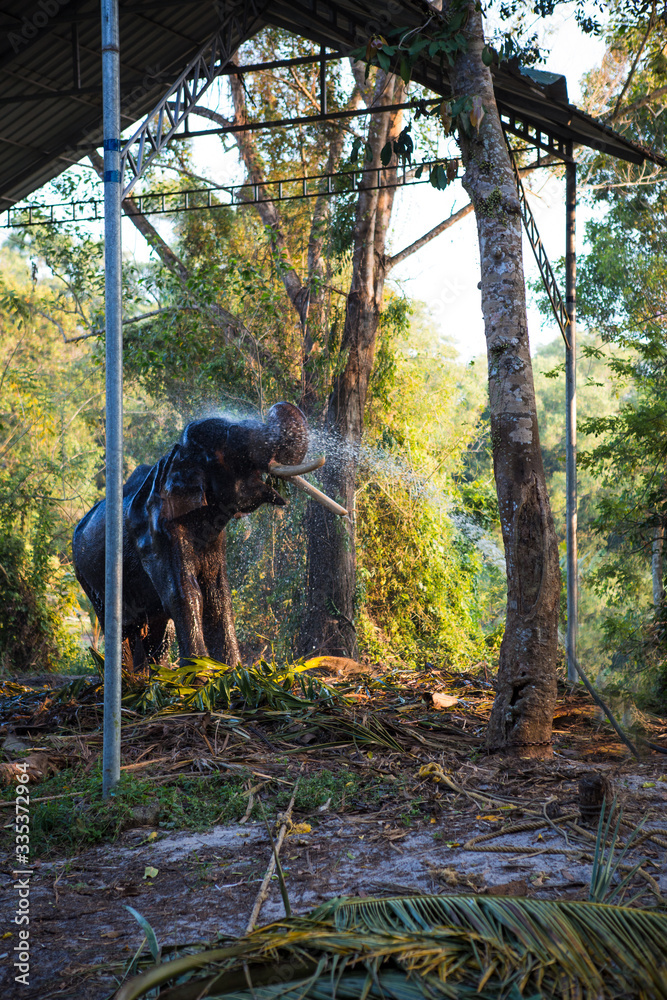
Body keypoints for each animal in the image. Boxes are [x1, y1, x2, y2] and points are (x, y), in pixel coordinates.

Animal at [73, 402, 322, 669]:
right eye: (235, 438)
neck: (175, 458)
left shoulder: (215, 541)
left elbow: (218, 597)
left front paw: (233, 670)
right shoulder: (159, 534)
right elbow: (184, 592)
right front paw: (200, 672)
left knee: (159, 630)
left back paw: (154, 675)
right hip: (87, 579)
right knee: (122, 625)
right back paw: (131, 676)